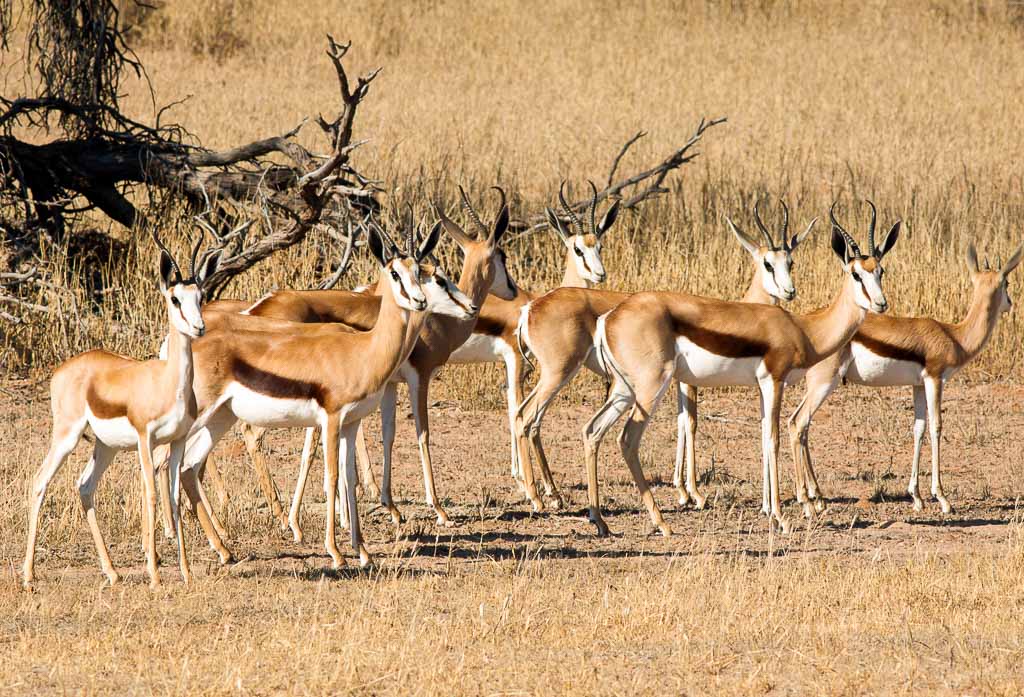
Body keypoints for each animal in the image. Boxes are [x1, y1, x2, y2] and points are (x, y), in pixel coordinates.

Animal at [23, 234, 219, 589]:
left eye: (200, 296)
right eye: (174, 299)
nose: (199, 328)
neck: (167, 383)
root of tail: (62, 369)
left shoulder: (178, 440)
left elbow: (174, 498)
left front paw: (185, 573)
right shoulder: (145, 439)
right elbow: (152, 494)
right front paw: (155, 575)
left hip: (106, 446)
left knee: (85, 486)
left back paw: (112, 572)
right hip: (67, 436)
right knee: (39, 481)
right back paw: (29, 576)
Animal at [191, 190, 514, 537]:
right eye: (439, 278)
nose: (473, 306)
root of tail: (259, 306)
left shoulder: (388, 386)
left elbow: (386, 434)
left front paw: (386, 507)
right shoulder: (419, 378)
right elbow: (421, 433)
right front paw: (436, 510)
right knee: (245, 435)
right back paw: (270, 519)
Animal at [515, 199, 814, 509]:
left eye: (790, 262)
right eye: (768, 264)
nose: (789, 291)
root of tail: (532, 307)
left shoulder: (680, 380)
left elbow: (683, 422)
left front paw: (684, 490)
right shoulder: (688, 381)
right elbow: (690, 423)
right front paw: (693, 493)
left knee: (528, 419)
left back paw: (550, 493)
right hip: (561, 372)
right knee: (526, 417)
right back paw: (538, 497)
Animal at [583, 202, 899, 535]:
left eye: (880, 270)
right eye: (855, 274)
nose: (881, 304)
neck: (803, 329)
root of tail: (609, 317)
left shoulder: (762, 387)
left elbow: (762, 437)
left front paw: (770, 511)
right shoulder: (774, 381)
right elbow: (773, 440)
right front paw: (783, 518)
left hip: (623, 390)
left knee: (593, 430)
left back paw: (601, 521)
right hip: (651, 387)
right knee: (628, 439)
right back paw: (662, 522)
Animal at [789, 243, 1023, 517]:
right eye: (1006, 282)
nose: (1010, 303)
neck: (955, 336)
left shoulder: (918, 385)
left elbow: (918, 429)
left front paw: (917, 497)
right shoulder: (935, 379)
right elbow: (936, 427)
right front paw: (942, 498)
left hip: (817, 385)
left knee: (802, 426)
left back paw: (817, 498)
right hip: (824, 383)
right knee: (798, 423)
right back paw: (807, 502)